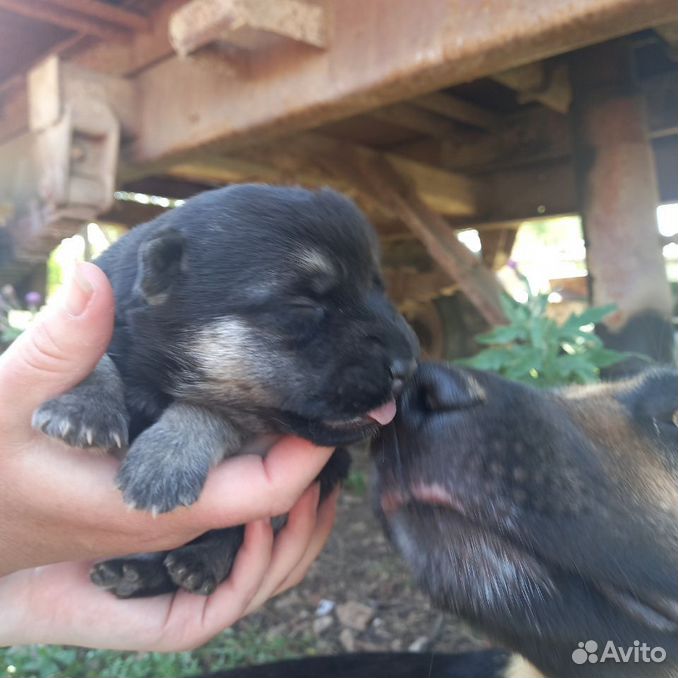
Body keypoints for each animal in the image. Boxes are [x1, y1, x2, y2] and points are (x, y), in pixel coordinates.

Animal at [35, 183, 420, 596]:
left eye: (378, 289)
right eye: (302, 306)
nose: (409, 365)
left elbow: (209, 409)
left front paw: (166, 458)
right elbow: (98, 354)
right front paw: (82, 410)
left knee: (231, 534)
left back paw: (196, 562)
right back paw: (131, 573)